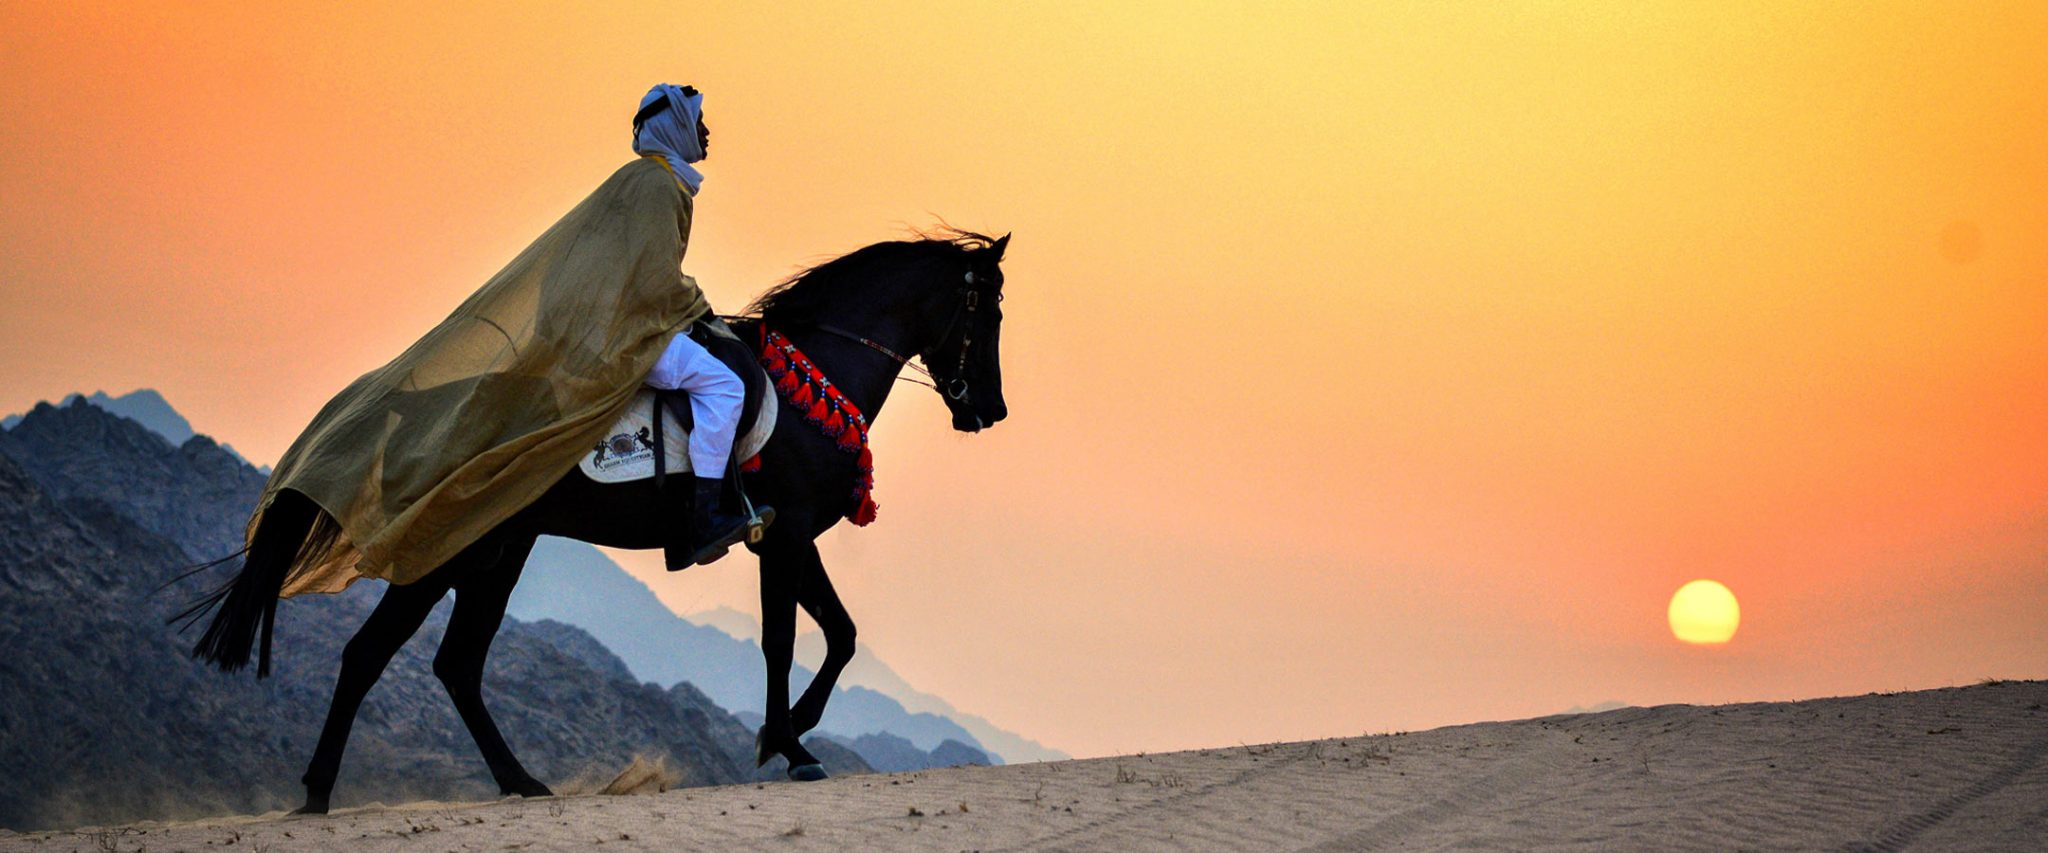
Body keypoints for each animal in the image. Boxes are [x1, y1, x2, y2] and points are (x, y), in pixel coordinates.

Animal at [185, 230, 1010, 814]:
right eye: (988, 310)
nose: (989, 410)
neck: (815, 374)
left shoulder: (788, 537)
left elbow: (839, 633)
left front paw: (787, 733)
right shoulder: (784, 533)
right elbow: (786, 640)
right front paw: (786, 741)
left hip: (496, 551)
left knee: (450, 663)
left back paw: (514, 781)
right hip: (453, 553)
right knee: (377, 655)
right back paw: (324, 790)